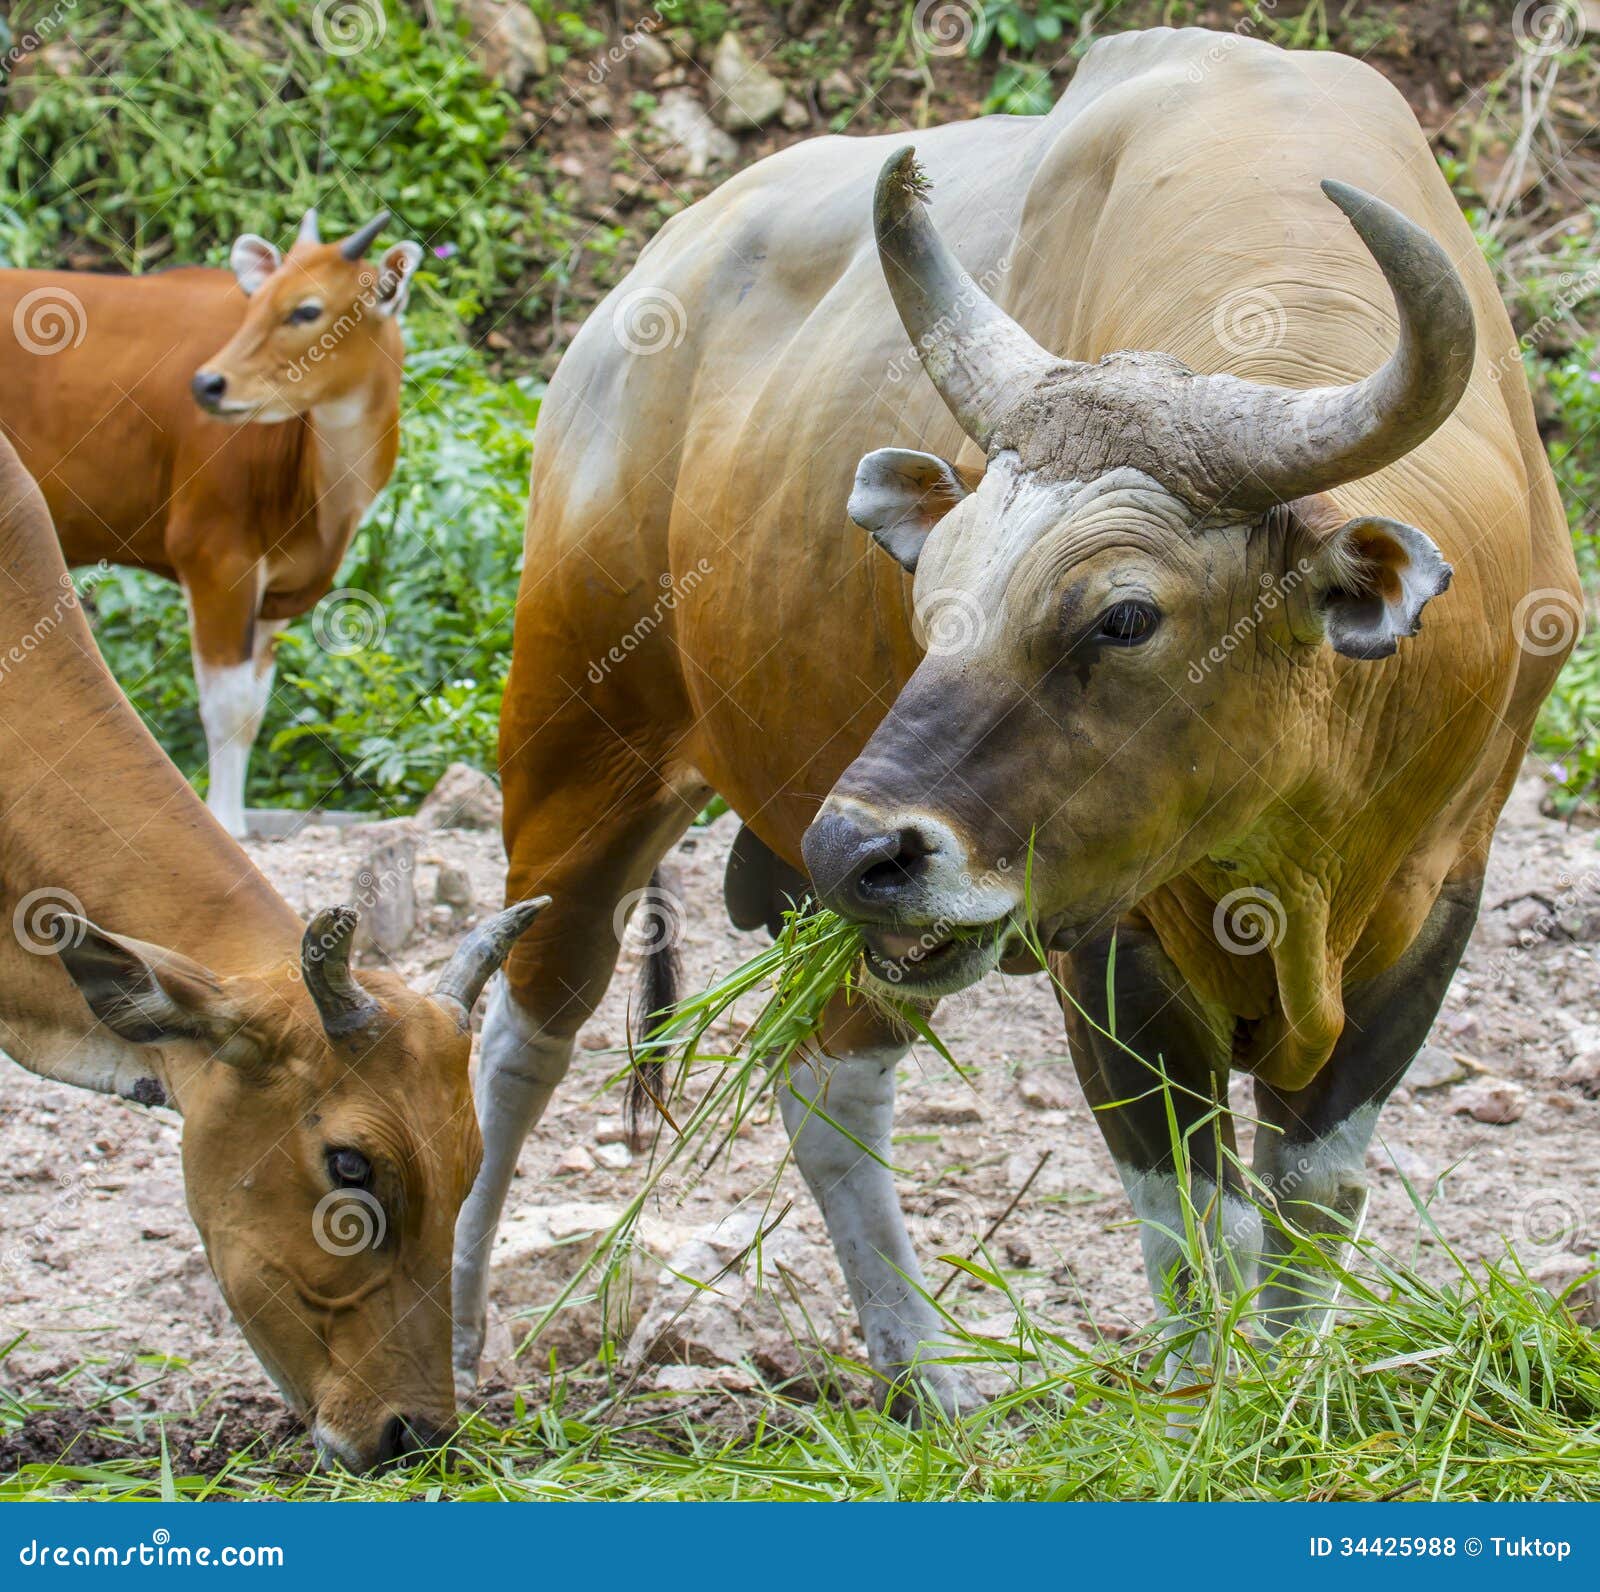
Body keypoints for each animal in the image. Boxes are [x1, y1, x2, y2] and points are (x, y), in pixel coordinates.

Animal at [0, 209, 421, 837]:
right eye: (252, 306)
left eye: (306, 309)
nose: (208, 384)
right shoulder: (215, 558)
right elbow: (226, 706)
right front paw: (225, 819)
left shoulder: (277, 594)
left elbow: (254, 707)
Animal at [452, 27, 1580, 1411]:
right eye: (929, 591)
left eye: (1124, 616)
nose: (856, 846)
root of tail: (626, 315)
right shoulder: (1109, 935)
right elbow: (1189, 1216)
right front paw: (1200, 1410)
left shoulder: (1433, 906)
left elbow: (1309, 1202)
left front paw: (1281, 1402)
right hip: (582, 747)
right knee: (518, 1036)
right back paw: (448, 1346)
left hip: (885, 915)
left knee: (827, 1073)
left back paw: (927, 1380)